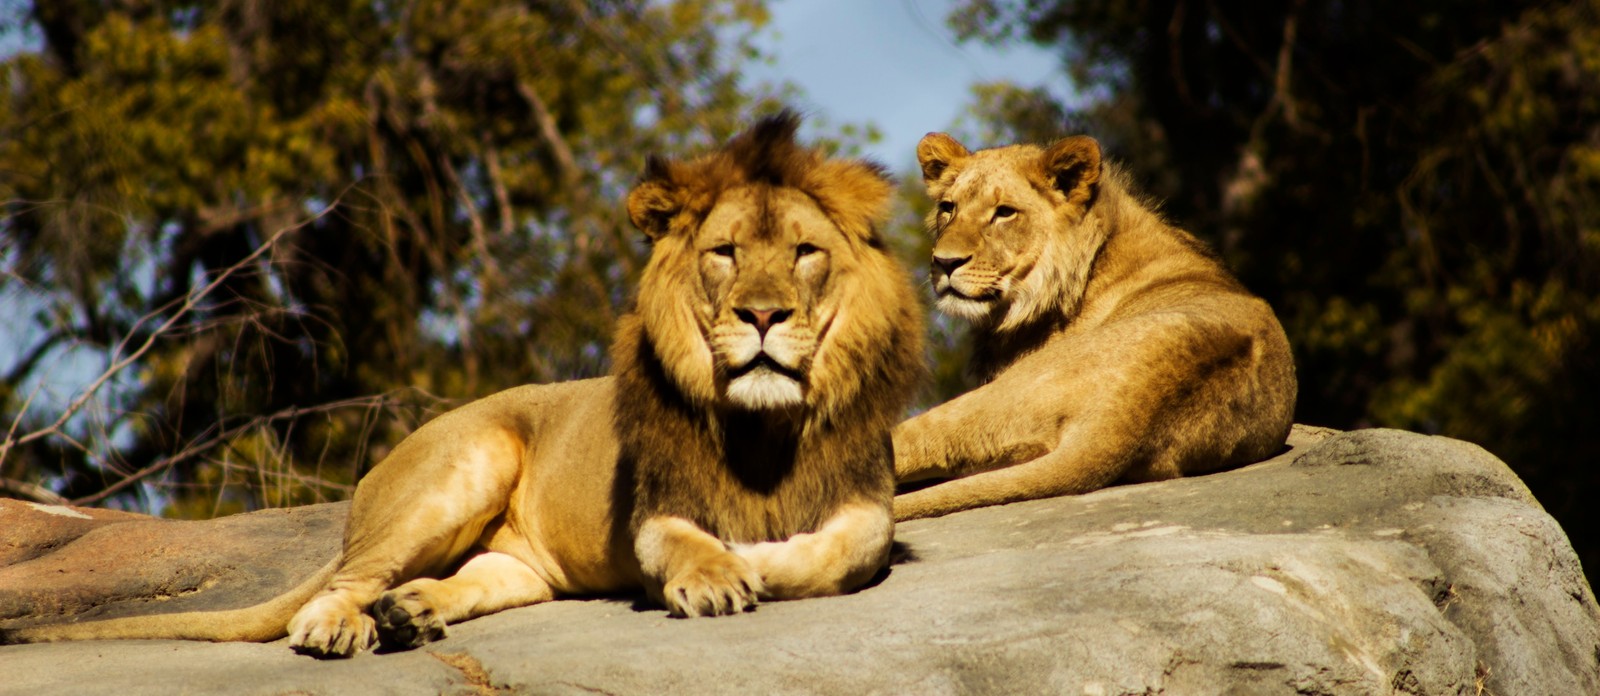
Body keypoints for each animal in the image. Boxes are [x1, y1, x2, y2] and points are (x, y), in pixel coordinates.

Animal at [2, 112, 925, 657]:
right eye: (726, 253)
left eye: (805, 253)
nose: (763, 314)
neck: (766, 425)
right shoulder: (656, 508)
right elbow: (685, 541)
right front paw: (721, 570)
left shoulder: (865, 500)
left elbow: (845, 548)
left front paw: (760, 557)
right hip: (464, 467)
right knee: (336, 587)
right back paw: (342, 626)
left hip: (519, 564)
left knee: (469, 578)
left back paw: (410, 613)